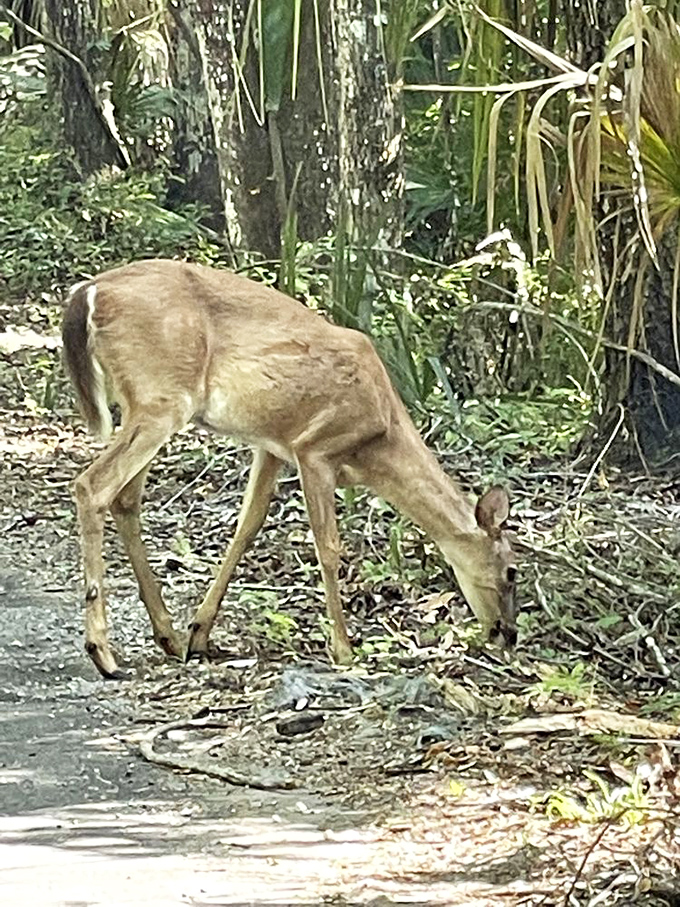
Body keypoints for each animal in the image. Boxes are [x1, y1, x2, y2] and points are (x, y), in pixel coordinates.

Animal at [61, 259, 518, 679]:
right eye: (512, 571)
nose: (508, 634)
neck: (380, 438)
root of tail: (89, 291)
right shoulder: (315, 448)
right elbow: (329, 547)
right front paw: (344, 650)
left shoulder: (273, 446)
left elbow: (247, 526)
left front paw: (200, 633)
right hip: (162, 399)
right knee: (92, 485)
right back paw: (102, 652)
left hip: (143, 405)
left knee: (125, 498)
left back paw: (167, 637)